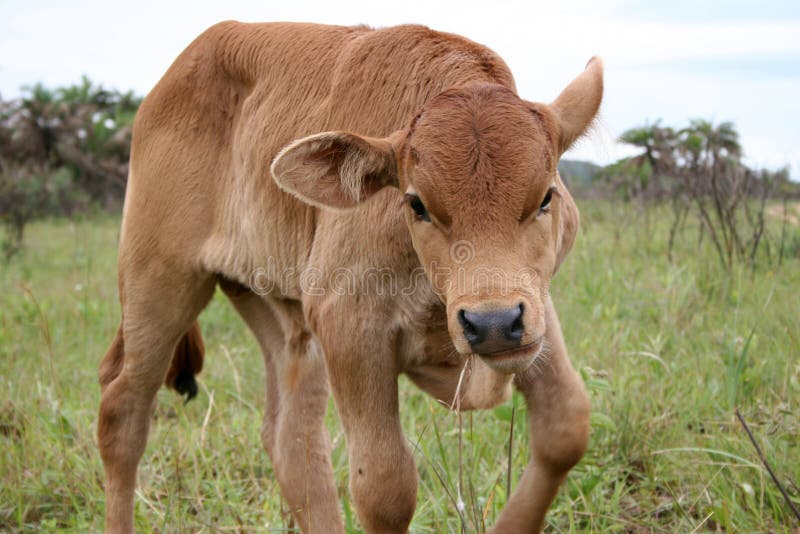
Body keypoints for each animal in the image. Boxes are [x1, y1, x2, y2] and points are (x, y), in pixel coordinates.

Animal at [98, 21, 602, 533]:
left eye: (547, 195)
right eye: (416, 203)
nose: (493, 323)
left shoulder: (534, 307)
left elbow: (565, 424)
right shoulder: (349, 325)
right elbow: (384, 487)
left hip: (280, 312)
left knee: (291, 437)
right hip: (158, 281)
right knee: (123, 413)